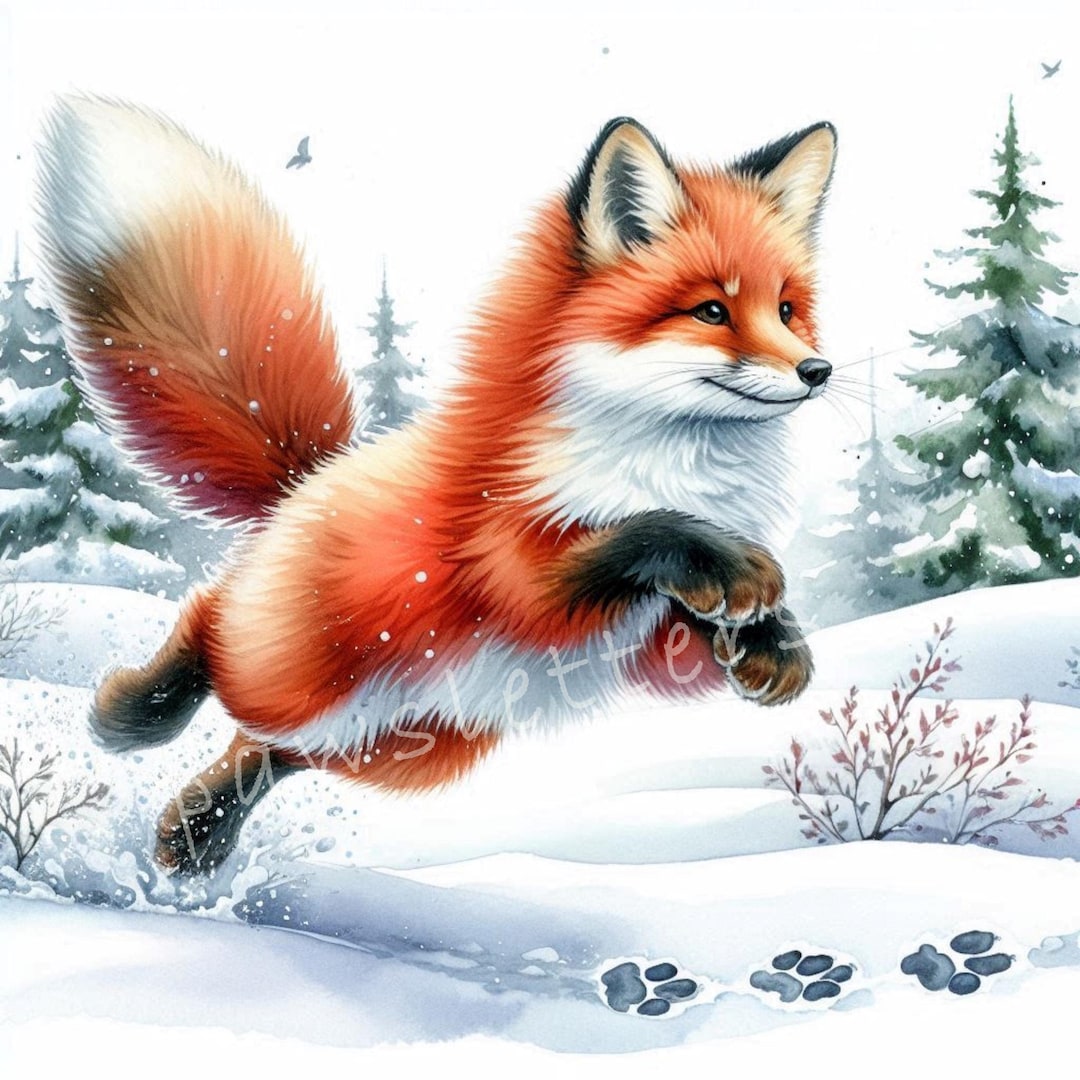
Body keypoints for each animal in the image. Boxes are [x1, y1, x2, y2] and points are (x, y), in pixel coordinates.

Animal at [36, 97, 836, 875]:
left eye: (787, 310)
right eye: (712, 311)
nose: (817, 371)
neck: (682, 465)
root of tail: (308, 479)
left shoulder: (647, 651)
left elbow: (693, 616)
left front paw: (773, 642)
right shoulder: (512, 572)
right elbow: (642, 534)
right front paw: (730, 567)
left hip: (406, 744)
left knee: (268, 747)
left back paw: (197, 831)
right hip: (302, 670)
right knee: (211, 624)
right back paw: (133, 714)